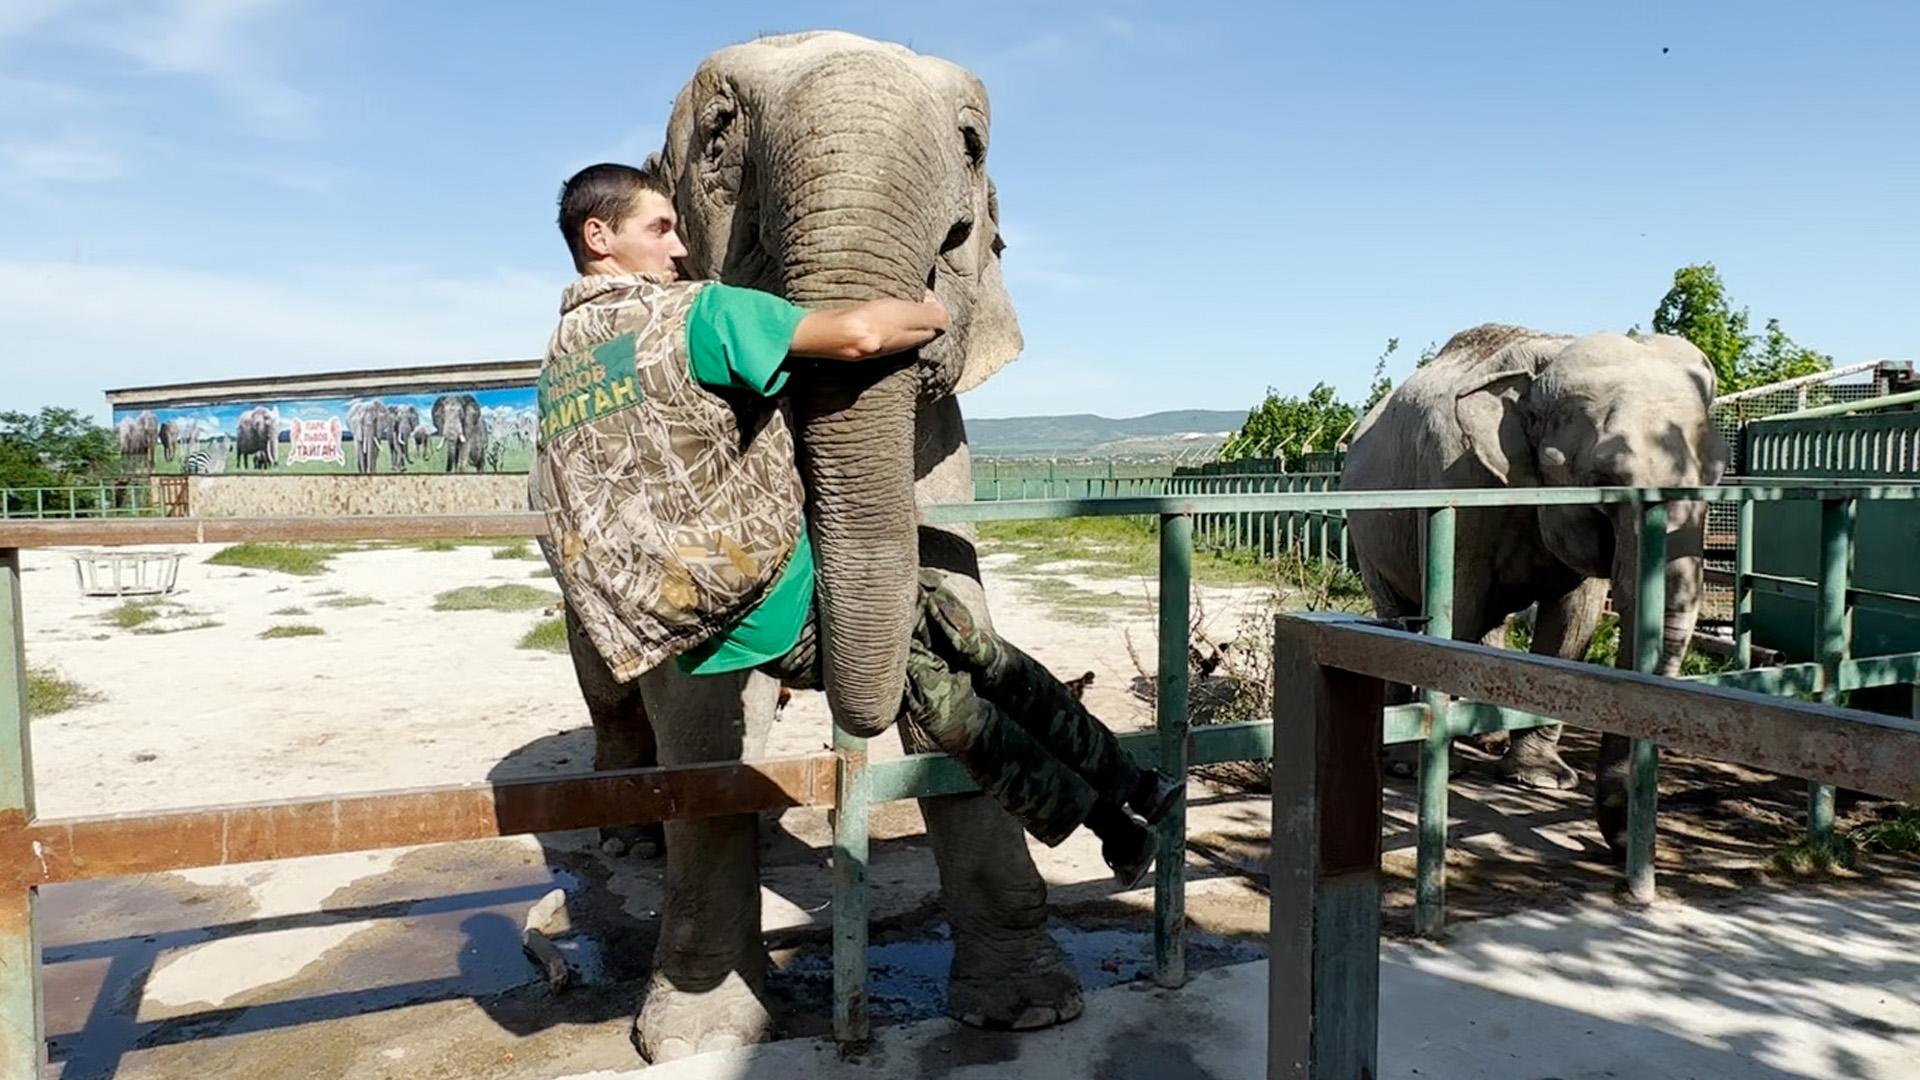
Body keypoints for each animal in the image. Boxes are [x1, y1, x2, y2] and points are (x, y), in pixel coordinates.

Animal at [556, 31, 1067, 1060]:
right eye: (719, 133)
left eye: (972, 144)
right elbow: (703, 713)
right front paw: (697, 1039)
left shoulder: (943, 450)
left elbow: (957, 597)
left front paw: (1032, 1011)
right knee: (610, 689)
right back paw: (628, 837)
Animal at [1344, 319, 1735, 849]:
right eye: (1604, 476)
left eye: (1719, 471)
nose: (1615, 840)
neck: (1549, 358)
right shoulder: (1455, 474)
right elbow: (1455, 609)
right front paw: (1425, 763)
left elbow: (1573, 622)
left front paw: (1542, 780)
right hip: (1366, 531)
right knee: (1400, 615)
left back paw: (1486, 737)